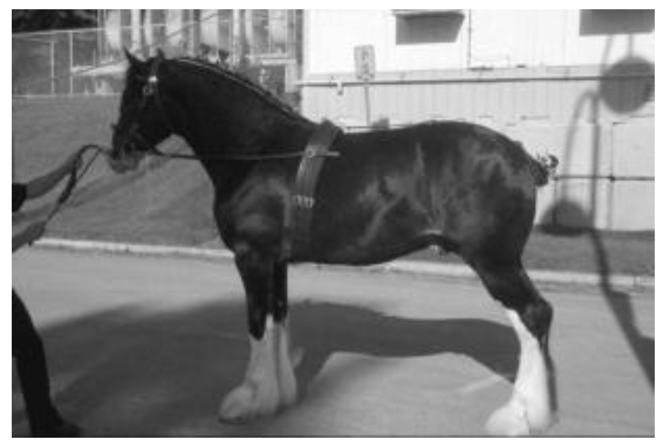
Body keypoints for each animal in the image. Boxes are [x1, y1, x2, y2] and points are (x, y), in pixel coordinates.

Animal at [110, 49, 558, 436]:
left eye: (134, 94)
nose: (116, 153)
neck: (259, 151)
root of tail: (524, 159)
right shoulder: (277, 261)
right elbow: (278, 318)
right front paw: (278, 397)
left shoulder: (252, 258)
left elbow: (256, 323)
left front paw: (247, 400)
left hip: (494, 262)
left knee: (532, 316)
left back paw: (520, 416)